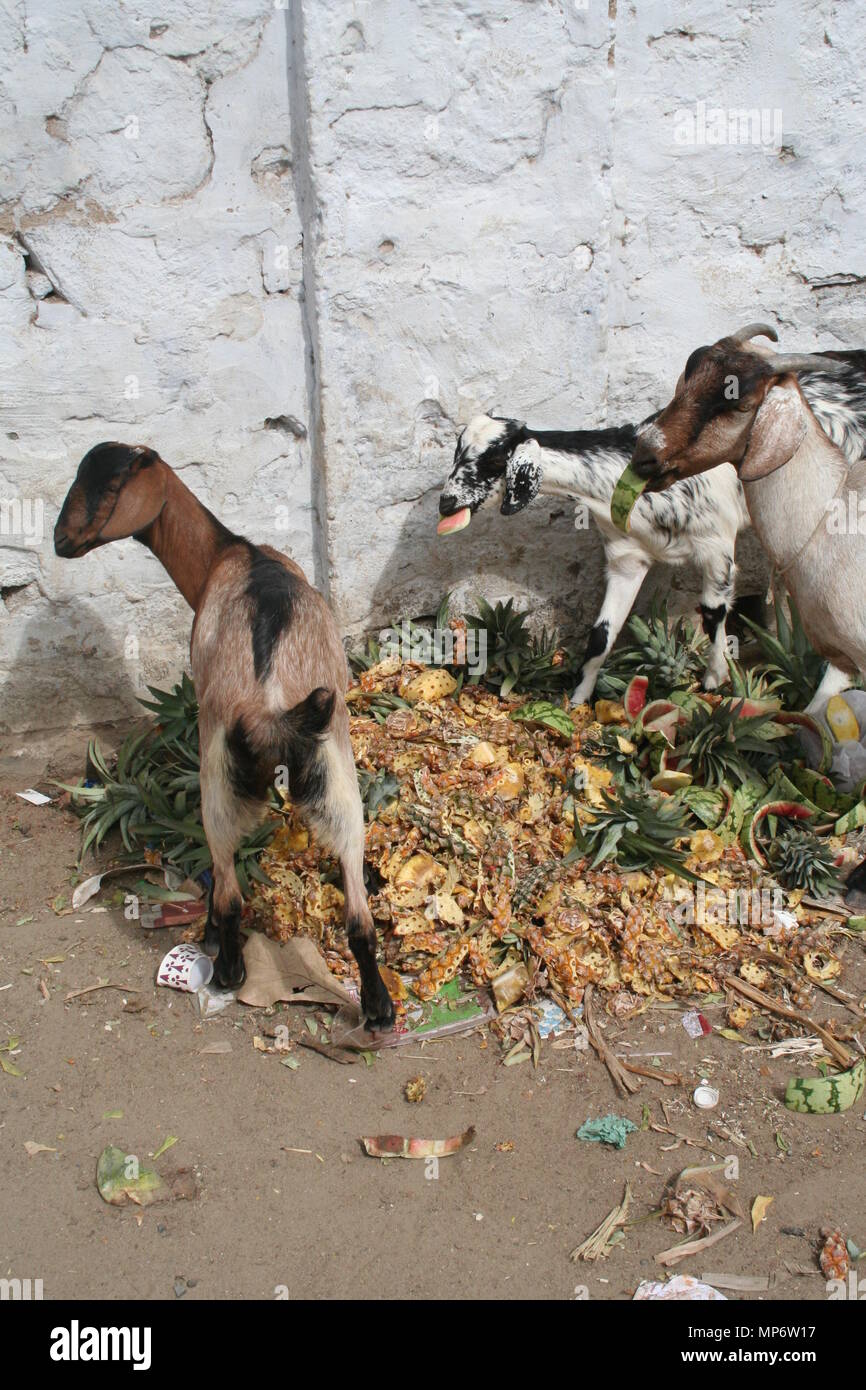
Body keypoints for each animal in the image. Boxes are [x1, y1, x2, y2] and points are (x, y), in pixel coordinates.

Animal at [54, 443, 395, 1028]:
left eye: (106, 482)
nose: (61, 540)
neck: (228, 555)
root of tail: (273, 703)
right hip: (336, 770)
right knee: (358, 913)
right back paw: (378, 1006)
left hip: (218, 773)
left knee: (230, 887)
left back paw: (228, 963)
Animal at [438, 329, 866, 706]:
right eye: (457, 452)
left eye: (495, 459)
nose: (445, 503)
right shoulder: (628, 559)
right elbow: (601, 635)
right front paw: (577, 700)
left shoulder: (717, 546)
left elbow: (713, 613)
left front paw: (715, 678)